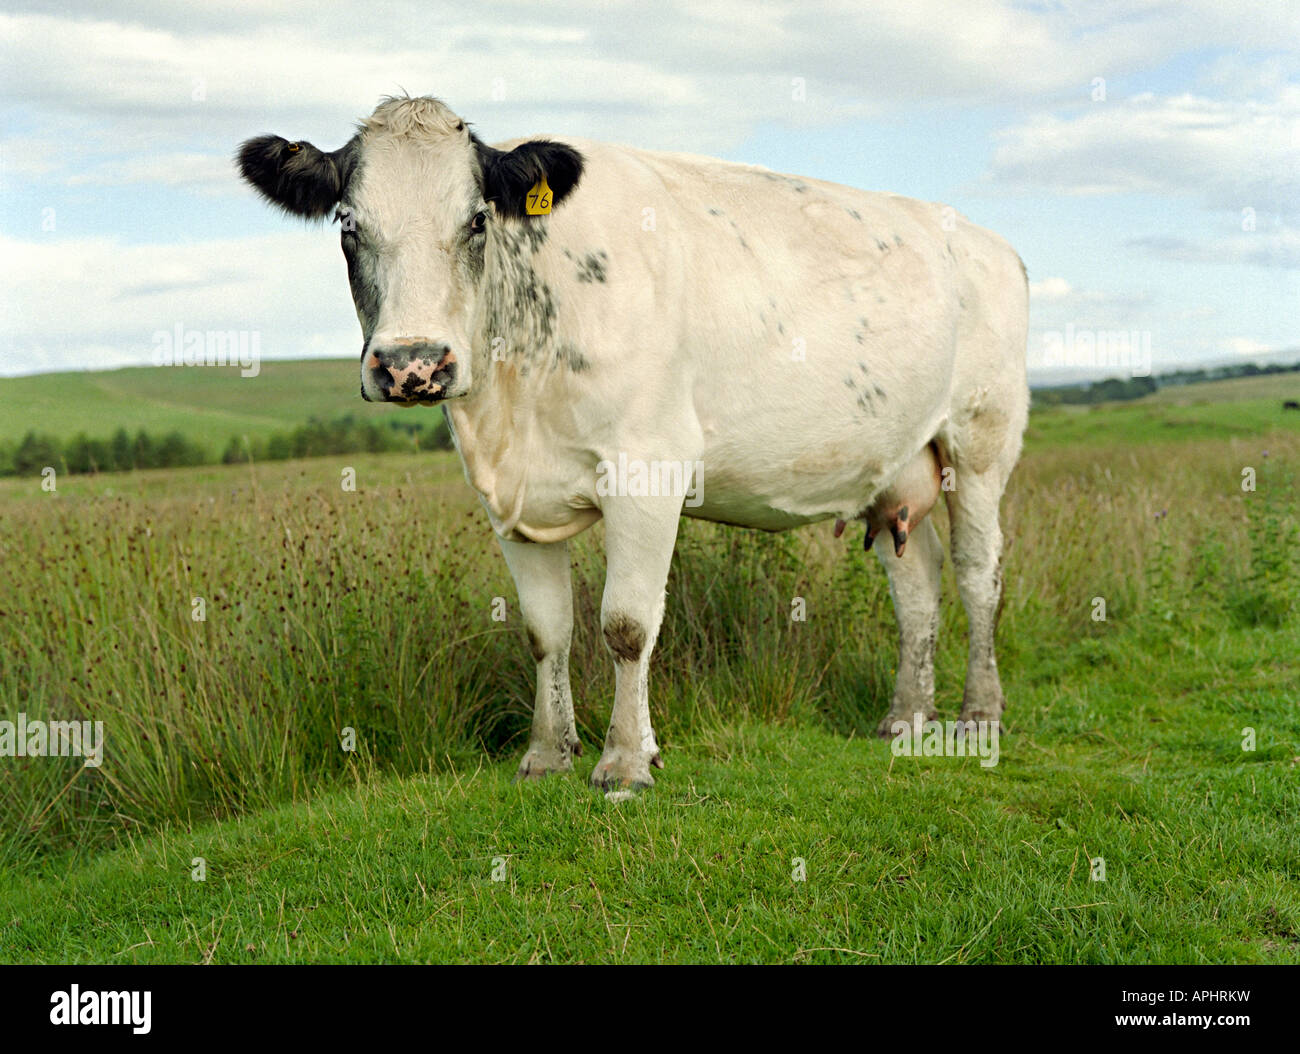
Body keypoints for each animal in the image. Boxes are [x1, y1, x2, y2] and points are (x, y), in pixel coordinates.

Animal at [237, 95, 1029, 792]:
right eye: (348, 225)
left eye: (476, 221)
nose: (412, 364)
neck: (512, 405)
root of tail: (985, 240)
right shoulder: (508, 499)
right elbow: (546, 630)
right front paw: (547, 754)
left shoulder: (648, 470)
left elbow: (625, 623)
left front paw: (622, 762)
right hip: (894, 462)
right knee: (917, 579)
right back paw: (906, 717)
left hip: (980, 441)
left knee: (976, 571)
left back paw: (978, 715)